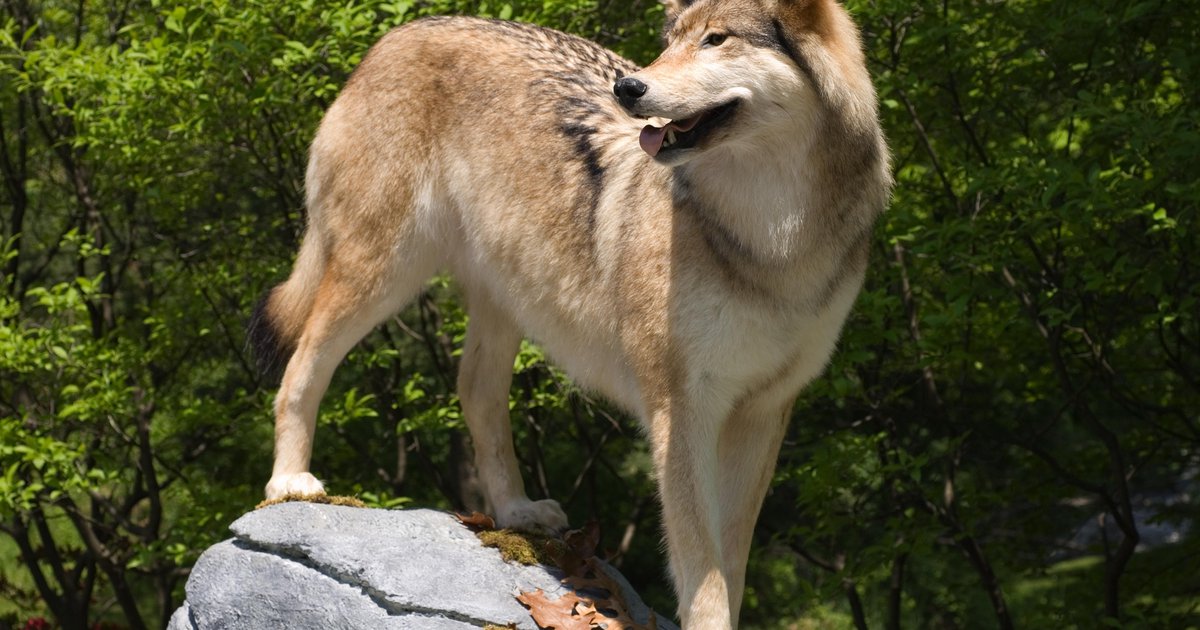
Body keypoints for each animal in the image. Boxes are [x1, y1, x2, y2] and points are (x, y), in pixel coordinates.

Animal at [249, 0, 890, 626]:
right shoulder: (680, 411)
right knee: (300, 366)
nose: (627, 86)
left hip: (501, 301)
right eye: (671, 41)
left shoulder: (763, 412)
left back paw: (516, 510)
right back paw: (289, 483)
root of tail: (394, 36)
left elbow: (730, 567)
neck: (772, 244)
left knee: (475, 392)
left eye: (716, 40)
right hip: (380, 274)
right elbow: (702, 573)